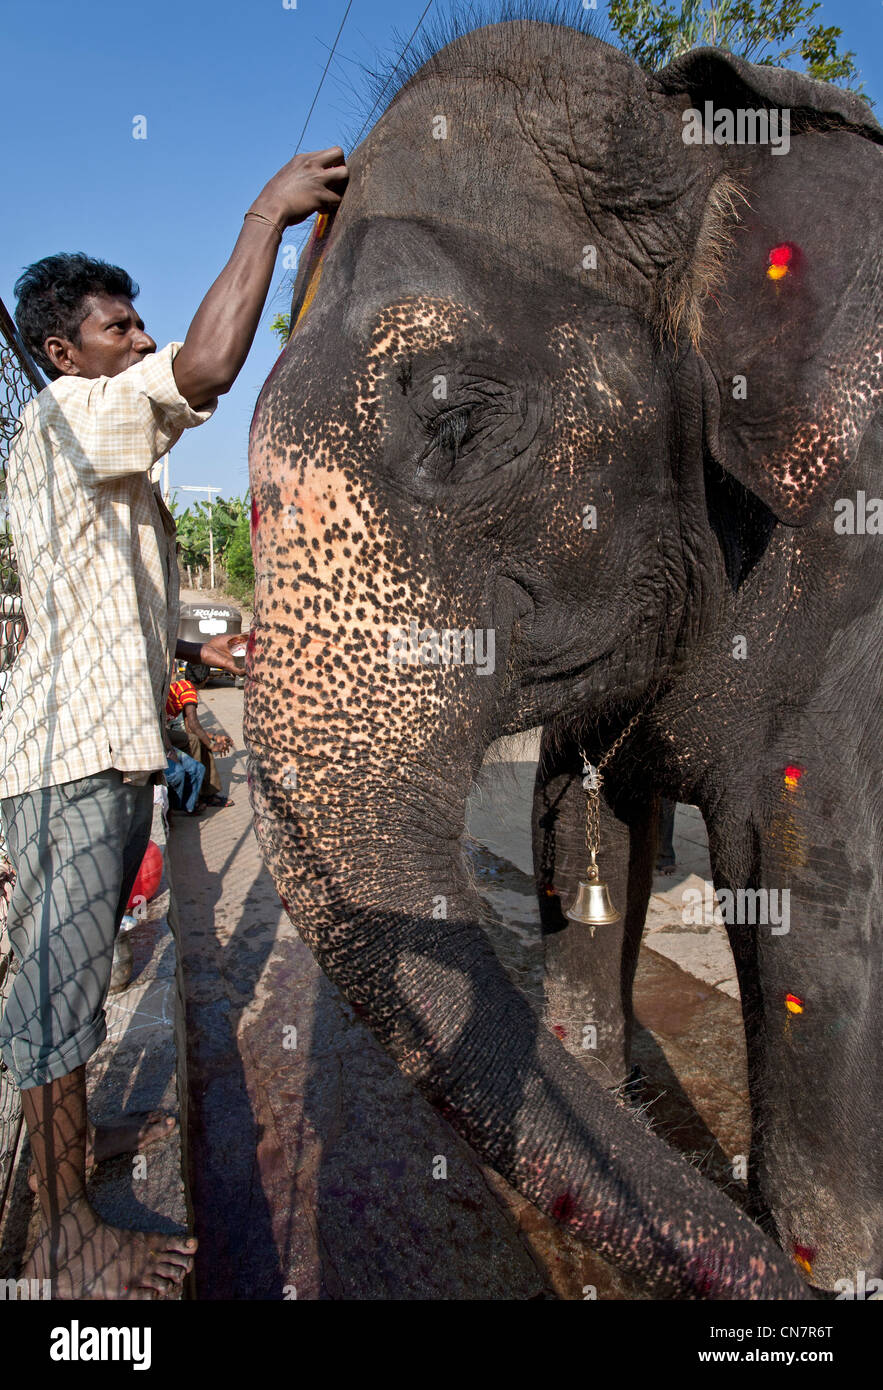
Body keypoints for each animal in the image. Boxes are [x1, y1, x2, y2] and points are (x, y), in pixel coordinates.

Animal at [243, 11, 882, 1299]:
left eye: (454, 419)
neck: (701, 146)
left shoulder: (850, 566)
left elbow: (810, 896)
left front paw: (830, 1264)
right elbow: (573, 826)